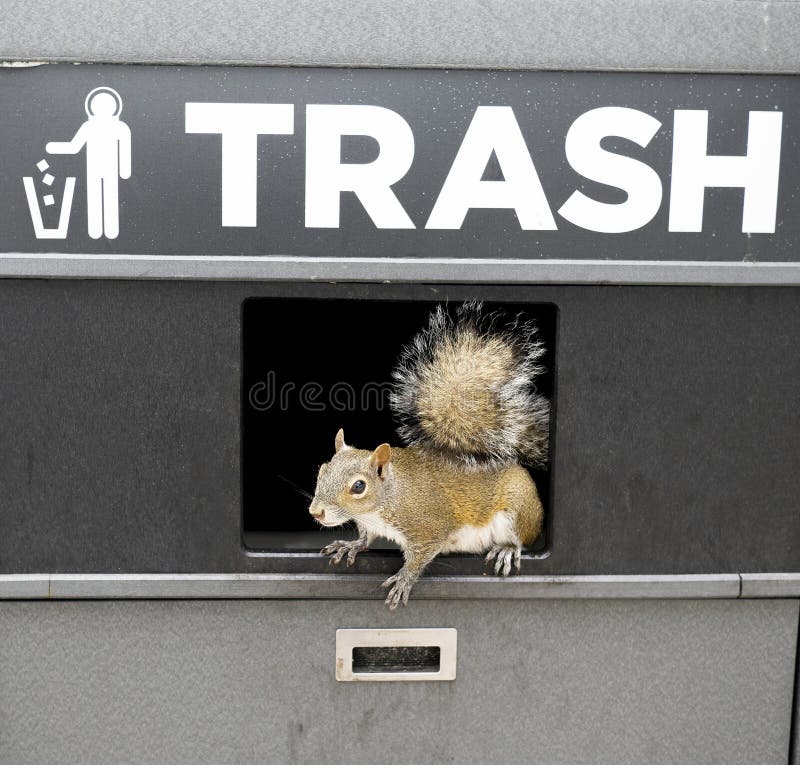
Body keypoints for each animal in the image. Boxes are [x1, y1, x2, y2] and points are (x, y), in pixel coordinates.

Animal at [308, 300, 549, 609]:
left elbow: (421, 555)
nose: (316, 512)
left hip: (518, 509)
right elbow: (366, 538)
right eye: (322, 470)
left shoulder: (428, 527)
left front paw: (404, 579)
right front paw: (352, 544)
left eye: (359, 486)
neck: (388, 499)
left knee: (521, 538)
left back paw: (507, 549)